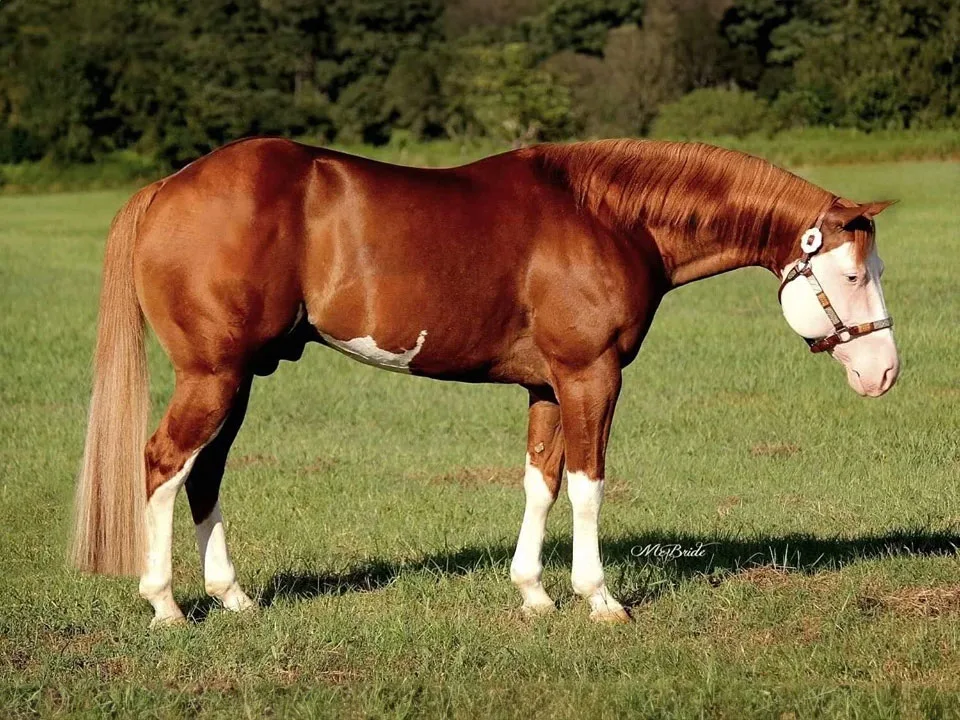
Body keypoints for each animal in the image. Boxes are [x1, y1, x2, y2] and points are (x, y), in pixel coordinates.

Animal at [70, 138, 898, 627]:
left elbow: (542, 483)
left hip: (239, 378)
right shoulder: (590, 377)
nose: (884, 371)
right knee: (162, 465)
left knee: (205, 475)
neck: (607, 216)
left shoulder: (548, 388)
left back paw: (233, 597)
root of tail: (166, 187)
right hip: (213, 376)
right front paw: (600, 599)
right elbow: (590, 484)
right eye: (855, 275)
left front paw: (533, 593)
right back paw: (165, 605)